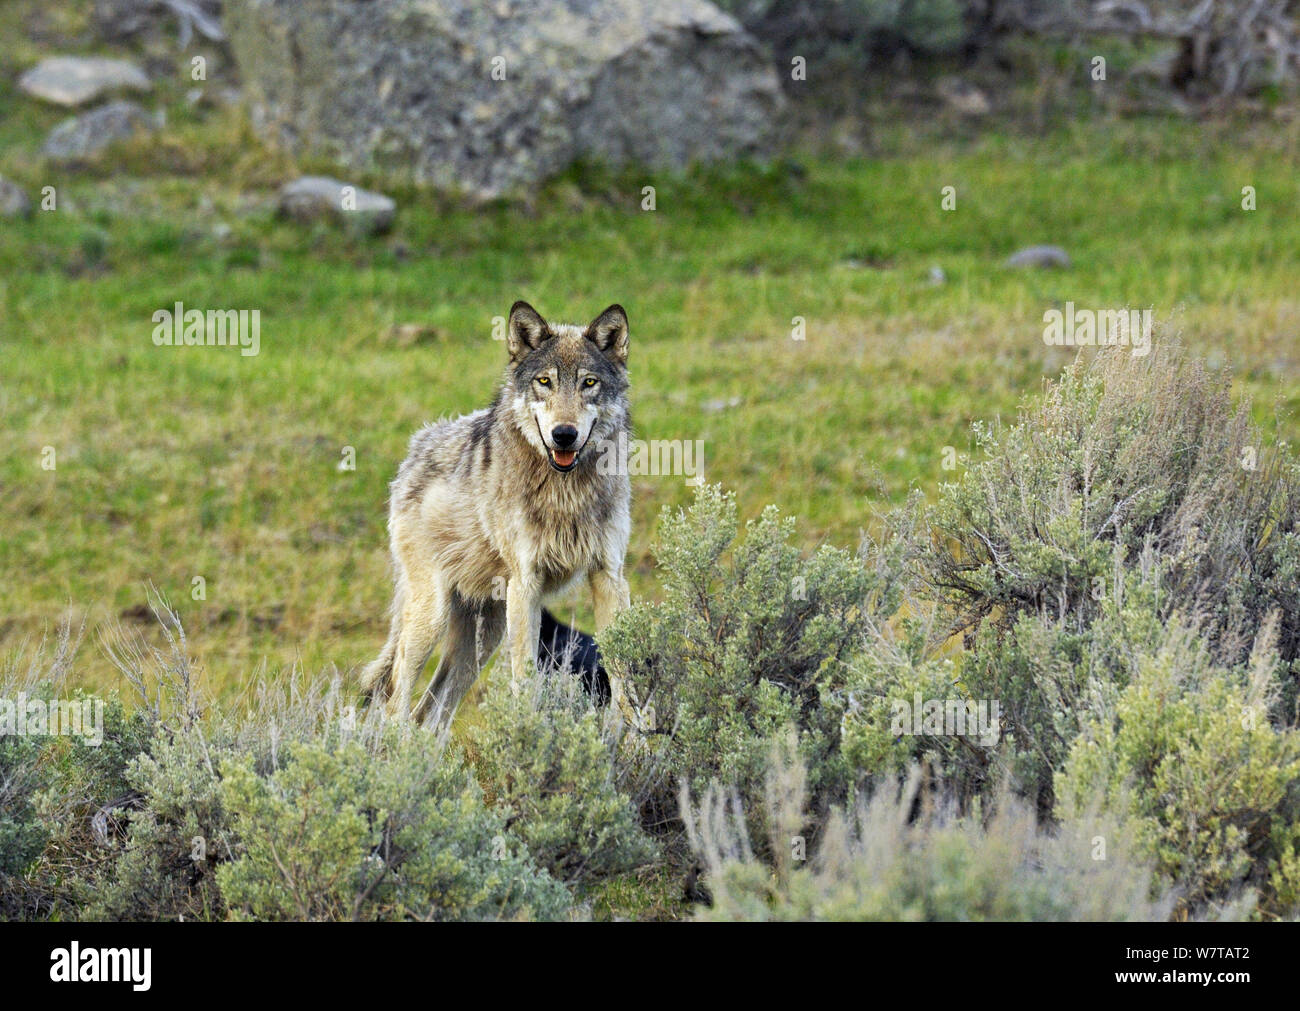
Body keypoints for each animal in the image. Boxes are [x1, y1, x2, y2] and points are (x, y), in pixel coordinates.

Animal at [360, 301, 632, 727]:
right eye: (544, 381)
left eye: (589, 383)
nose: (564, 435)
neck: (565, 491)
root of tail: (414, 450)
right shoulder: (527, 583)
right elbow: (525, 683)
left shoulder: (609, 575)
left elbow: (624, 685)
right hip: (431, 620)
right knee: (396, 704)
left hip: (484, 634)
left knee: (430, 715)